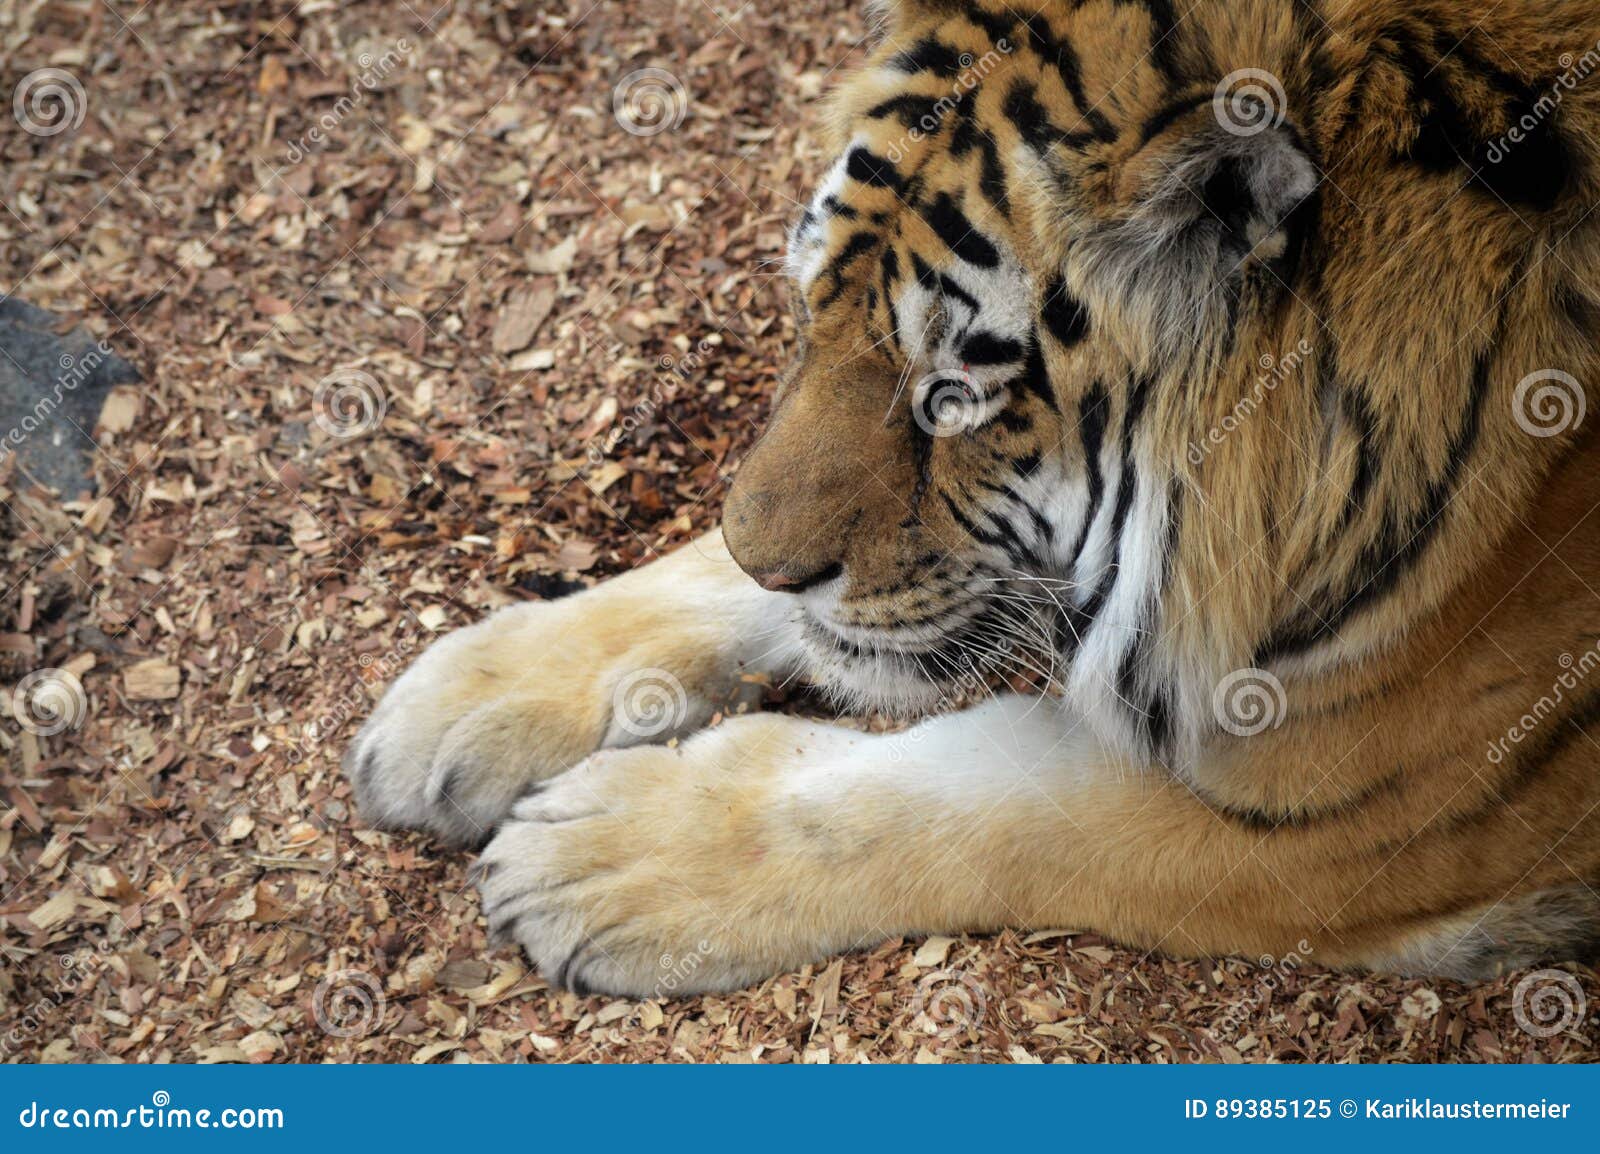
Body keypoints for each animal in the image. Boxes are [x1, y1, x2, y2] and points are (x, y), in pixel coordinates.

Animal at [346, 0, 1600, 997]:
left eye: (951, 395)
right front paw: (474, 692)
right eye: (811, 304)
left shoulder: (1367, 807)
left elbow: (980, 791)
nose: (768, 559)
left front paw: (607, 853)